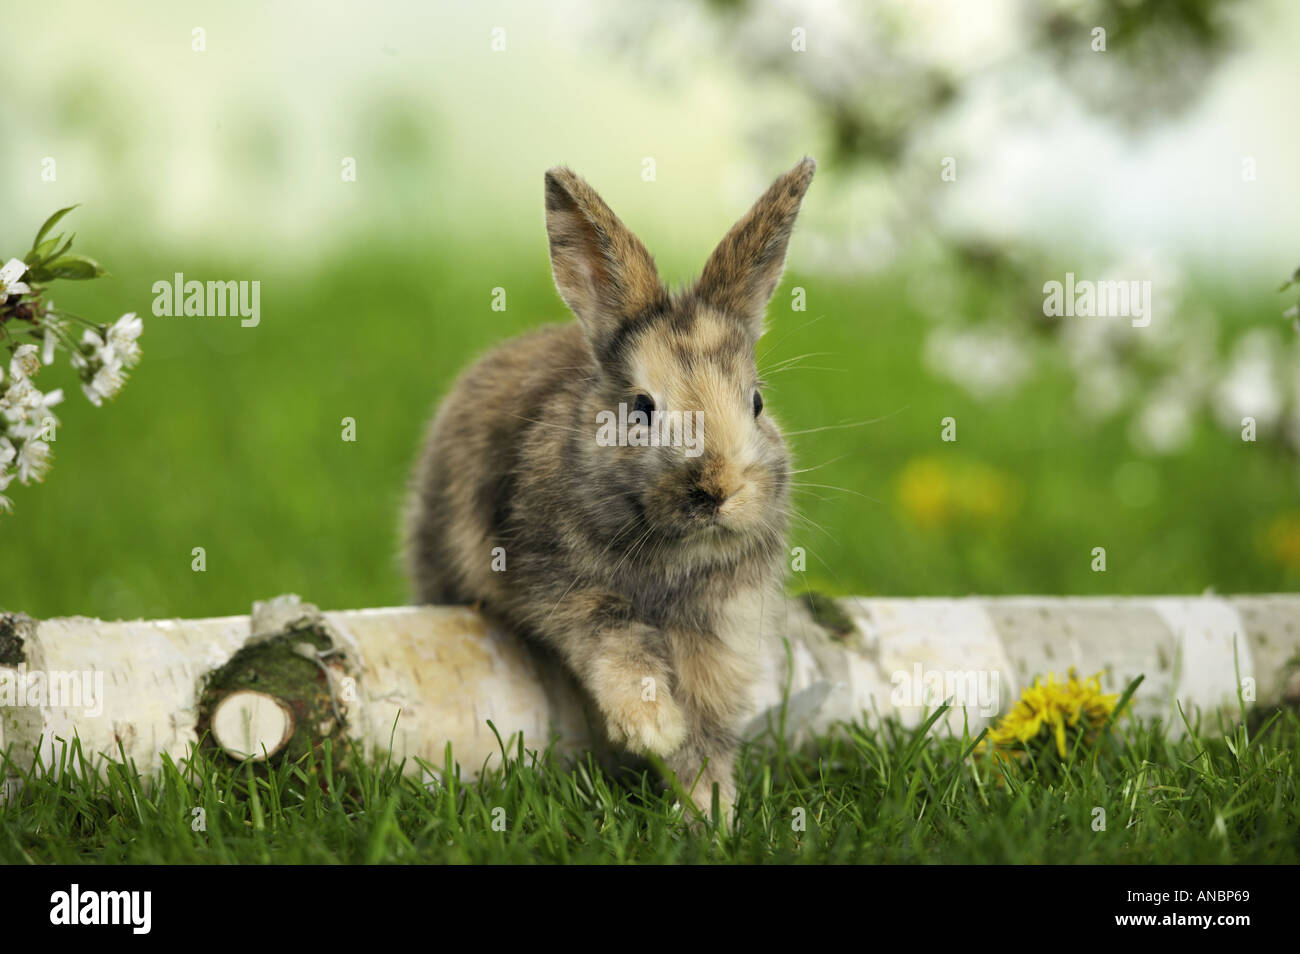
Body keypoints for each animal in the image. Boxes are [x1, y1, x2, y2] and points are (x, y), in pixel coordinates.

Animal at [405, 158, 815, 824]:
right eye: (642, 407)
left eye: (756, 402)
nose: (718, 489)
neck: (672, 550)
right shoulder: (571, 592)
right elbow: (618, 645)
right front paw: (653, 728)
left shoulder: (721, 630)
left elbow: (708, 727)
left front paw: (712, 812)